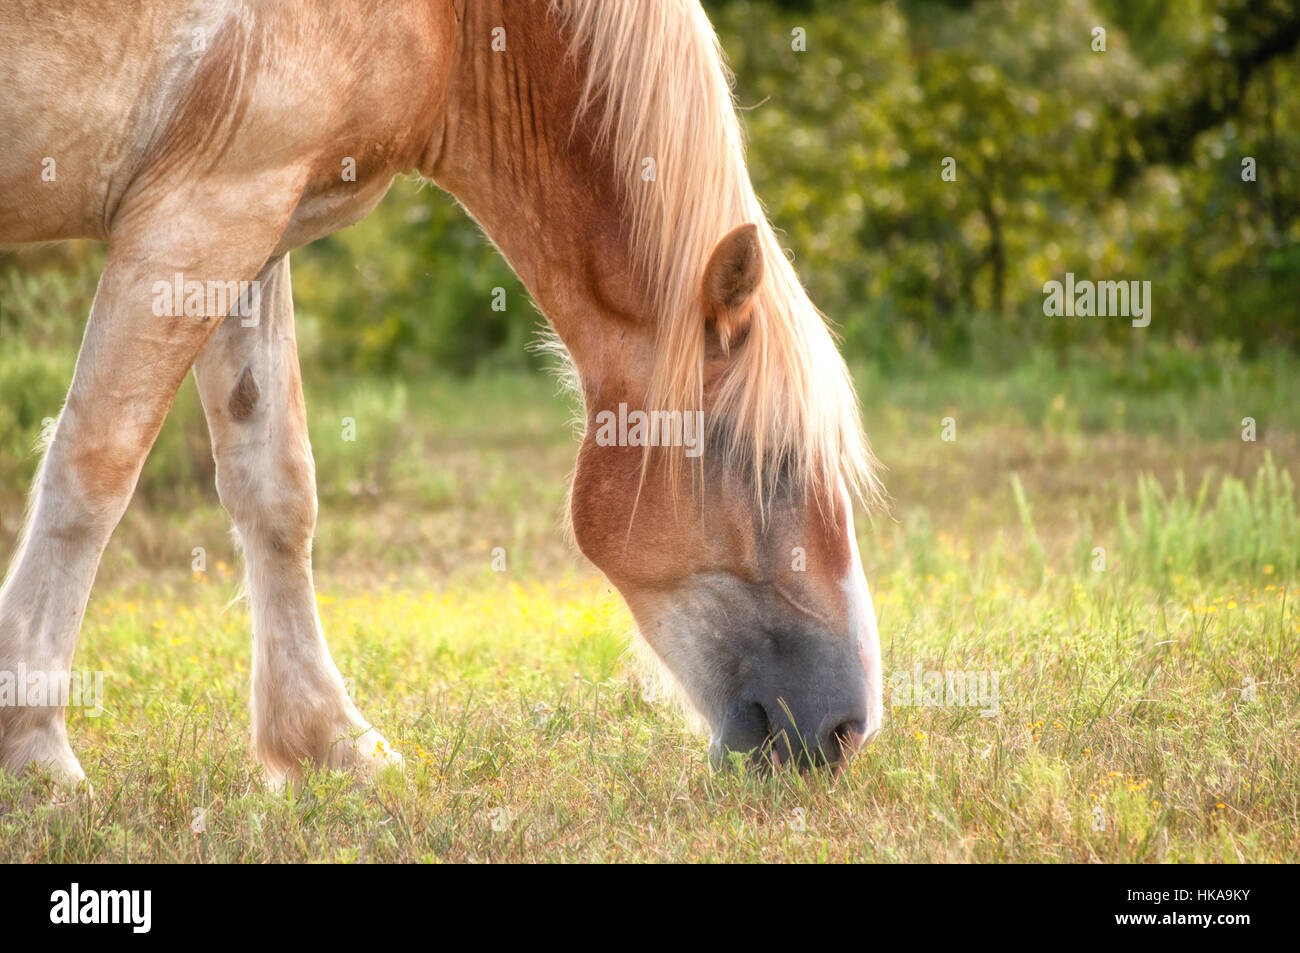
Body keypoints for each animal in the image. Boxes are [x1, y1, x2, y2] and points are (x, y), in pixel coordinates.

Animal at [0, 0, 885, 788]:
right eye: (769, 461)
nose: (847, 728)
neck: (458, 19)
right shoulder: (202, 214)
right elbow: (95, 467)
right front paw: (37, 752)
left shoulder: (252, 222)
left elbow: (275, 489)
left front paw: (332, 743)